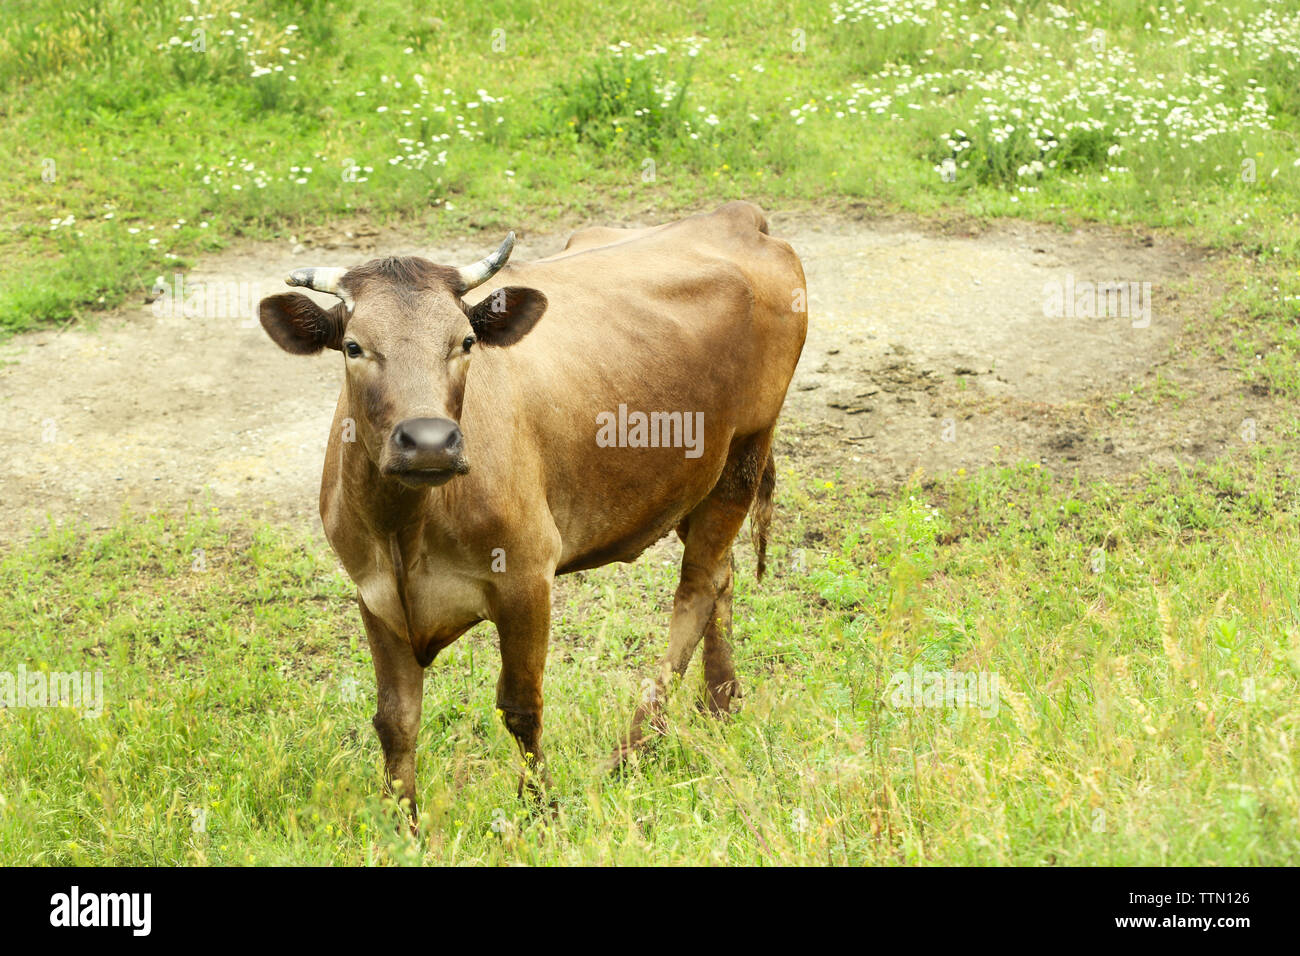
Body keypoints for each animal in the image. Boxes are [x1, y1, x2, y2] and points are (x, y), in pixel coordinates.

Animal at [257, 201, 807, 818]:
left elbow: (520, 708)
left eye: (466, 342)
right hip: (701, 477)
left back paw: (630, 750)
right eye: (354, 347)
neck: (407, 529)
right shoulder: (374, 593)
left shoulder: (526, 577)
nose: (429, 442)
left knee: (699, 587)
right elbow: (394, 720)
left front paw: (540, 808)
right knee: (722, 577)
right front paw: (405, 823)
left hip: (746, 450)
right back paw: (720, 704)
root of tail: (734, 215)